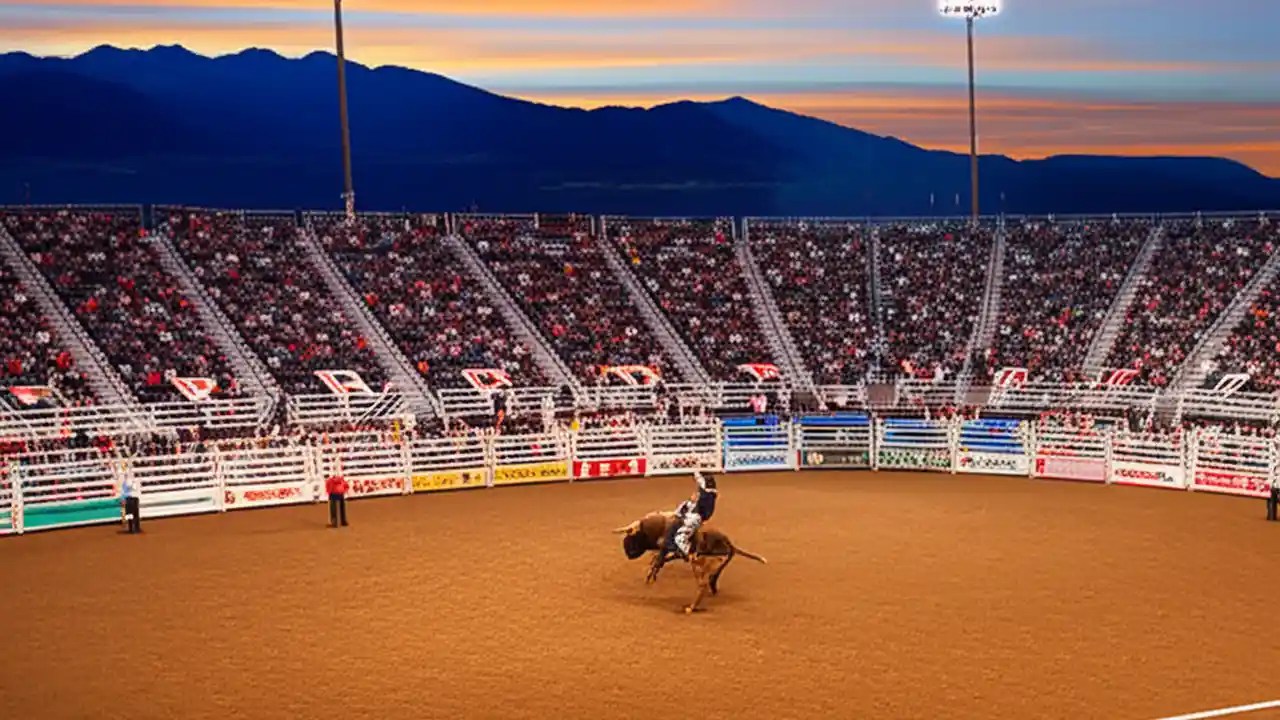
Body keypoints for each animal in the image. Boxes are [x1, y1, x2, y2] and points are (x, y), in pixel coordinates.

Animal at [612, 512, 767, 613]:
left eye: (629, 538)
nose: (628, 555)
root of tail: (728, 544)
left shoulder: (666, 547)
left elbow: (659, 560)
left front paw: (651, 574)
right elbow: (661, 560)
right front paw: (652, 572)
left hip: (699, 565)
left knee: (702, 586)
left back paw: (691, 607)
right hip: (713, 569)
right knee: (711, 582)